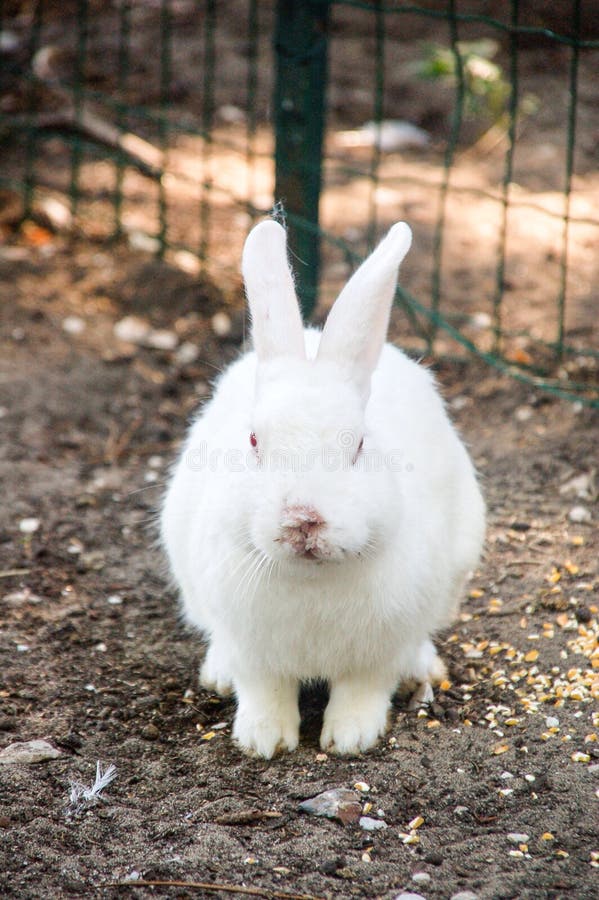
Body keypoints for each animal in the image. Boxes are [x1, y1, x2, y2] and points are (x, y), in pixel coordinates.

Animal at [160, 218, 485, 759]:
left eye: (359, 445)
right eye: (254, 440)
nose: (303, 519)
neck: (312, 579)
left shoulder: (378, 651)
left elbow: (362, 690)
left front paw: (351, 738)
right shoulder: (254, 650)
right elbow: (265, 690)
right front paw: (264, 740)